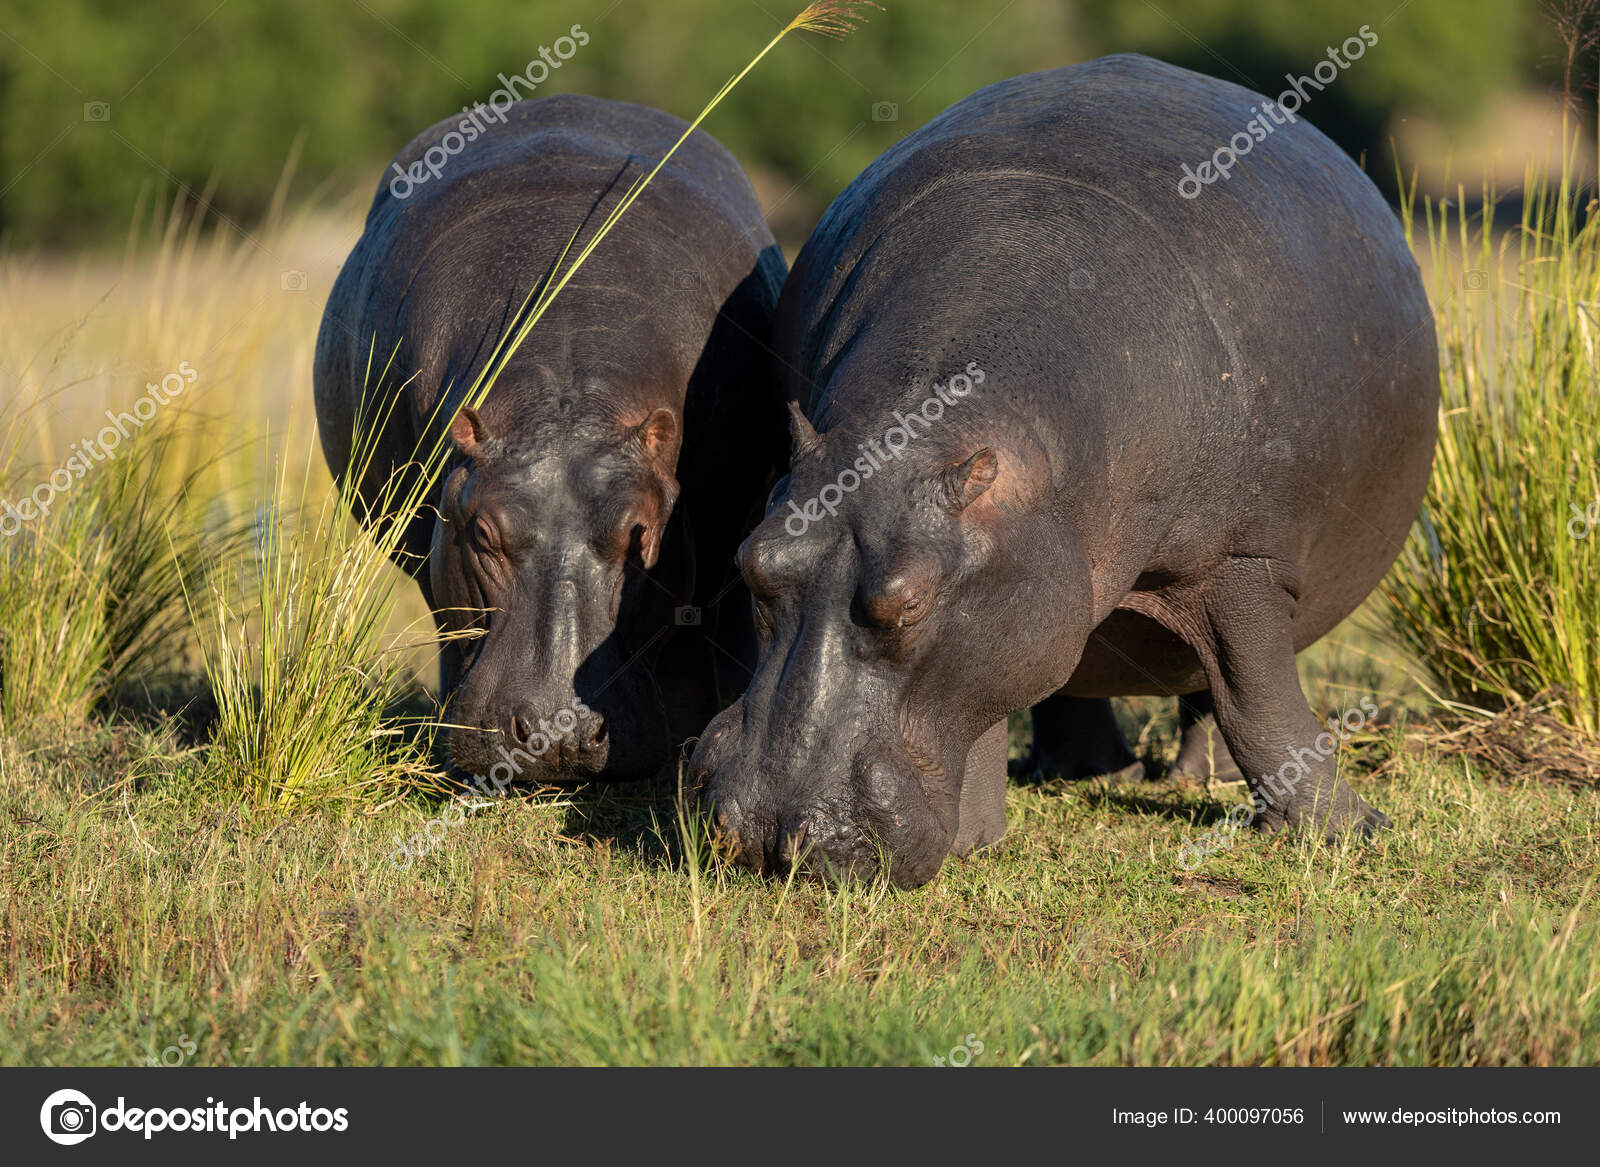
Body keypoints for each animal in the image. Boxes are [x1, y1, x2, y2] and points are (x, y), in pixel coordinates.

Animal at [690, 55, 1439, 887]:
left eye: (909, 602)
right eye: (752, 563)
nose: (768, 830)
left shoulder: (1243, 556)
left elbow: (1258, 697)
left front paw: (1353, 832)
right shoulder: (1006, 584)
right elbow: (981, 705)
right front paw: (976, 841)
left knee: (1212, 689)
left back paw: (1192, 781)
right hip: (1061, 587)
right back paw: (1087, 774)